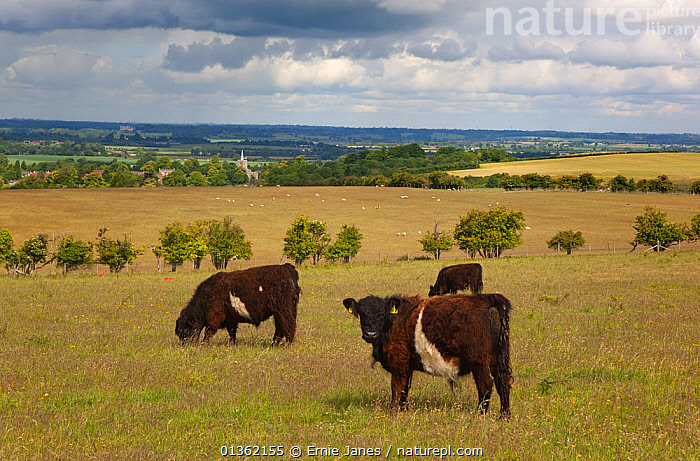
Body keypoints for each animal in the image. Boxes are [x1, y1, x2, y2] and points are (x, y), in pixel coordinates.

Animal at [342, 293, 512, 417]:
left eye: (382, 313)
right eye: (362, 314)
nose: (370, 333)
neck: (393, 323)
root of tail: (489, 298)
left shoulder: (399, 363)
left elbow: (397, 388)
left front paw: (394, 411)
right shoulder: (407, 366)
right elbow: (405, 389)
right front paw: (404, 409)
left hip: (480, 362)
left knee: (486, 384)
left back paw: (480, 415)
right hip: (497, 358)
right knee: (502, 383)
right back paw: (504, 416)